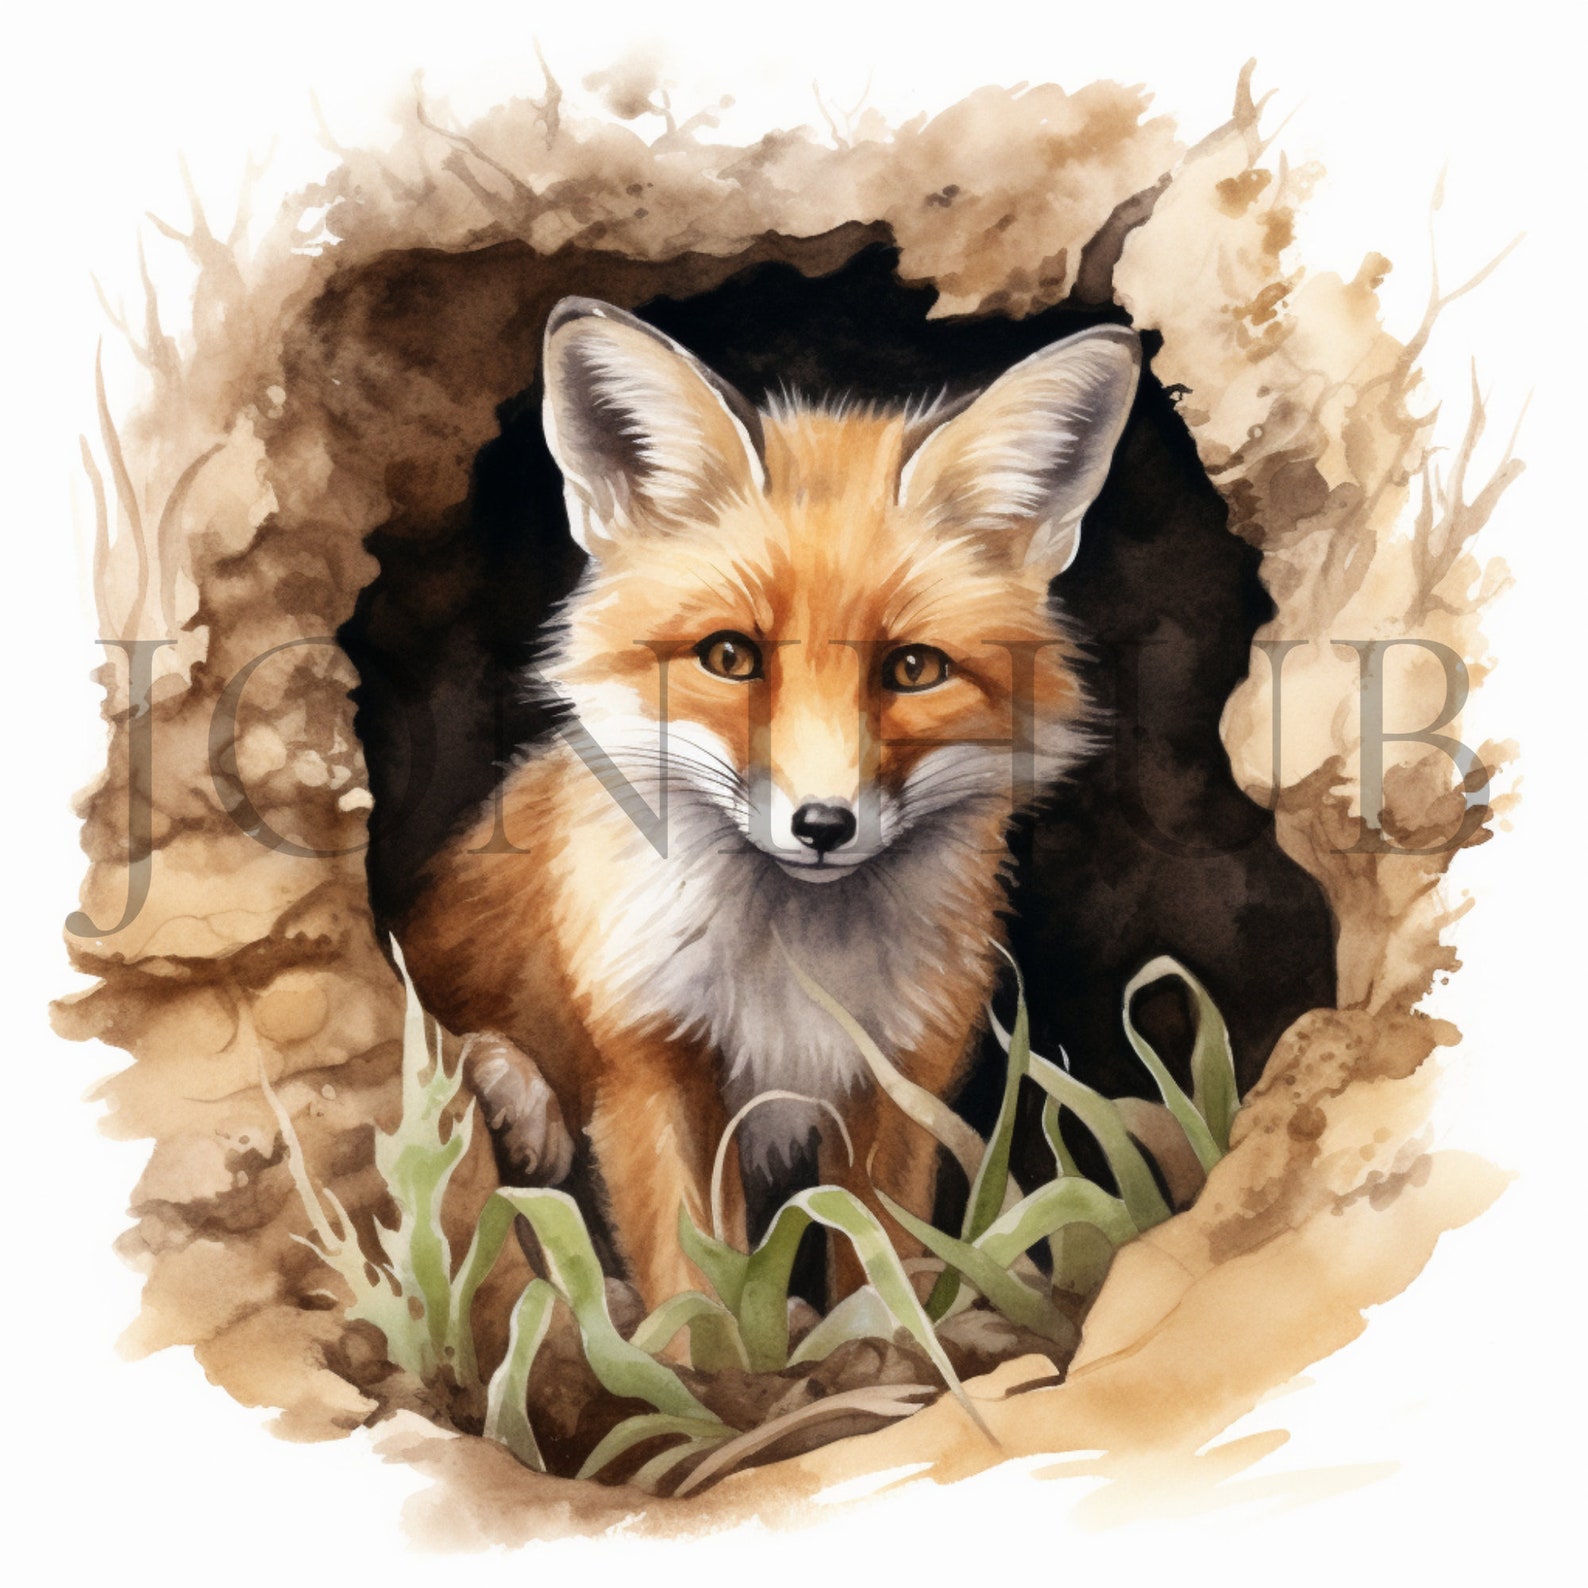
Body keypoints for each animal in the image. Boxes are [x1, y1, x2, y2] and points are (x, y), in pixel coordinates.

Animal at [396, 297, 1141, 1313]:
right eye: (729, 656)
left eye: (914, 669)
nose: (822, 826)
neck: (793, 969)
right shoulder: (651, 1060)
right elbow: (693, 1288)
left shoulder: (895, 1078)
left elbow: (881, 1266)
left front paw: (882, 1339)